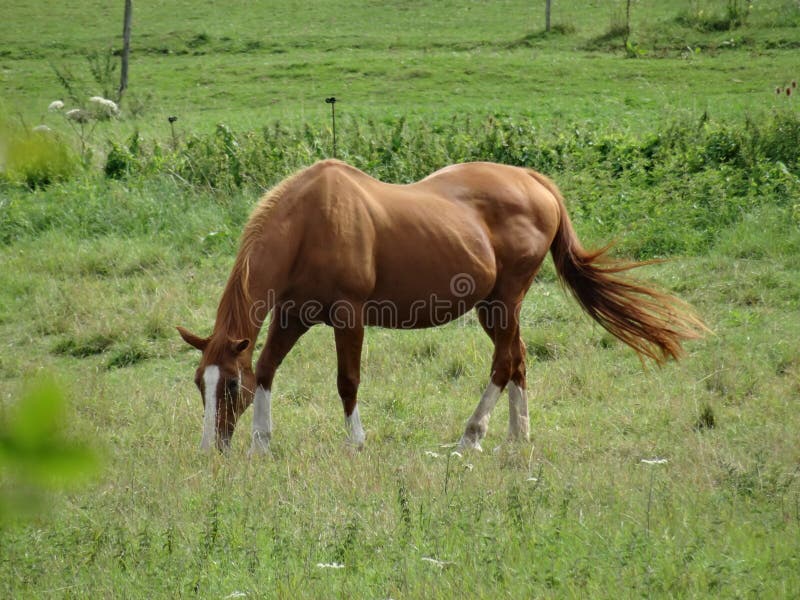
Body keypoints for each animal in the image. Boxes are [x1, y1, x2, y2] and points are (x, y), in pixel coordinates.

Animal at [177, 159, 707, 453]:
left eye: (227, 387)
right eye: (201, 384)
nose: (210, 449)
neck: (310, 223)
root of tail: (534, 182)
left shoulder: (348, 316)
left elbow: (347, 381)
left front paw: (356, 442)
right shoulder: (292, 316)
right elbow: (266, 369)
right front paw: (261, 445)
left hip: (504, 301)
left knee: (504, 363)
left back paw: (471, 435)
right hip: (492, 308)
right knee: (518, 361)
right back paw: (517, 437)